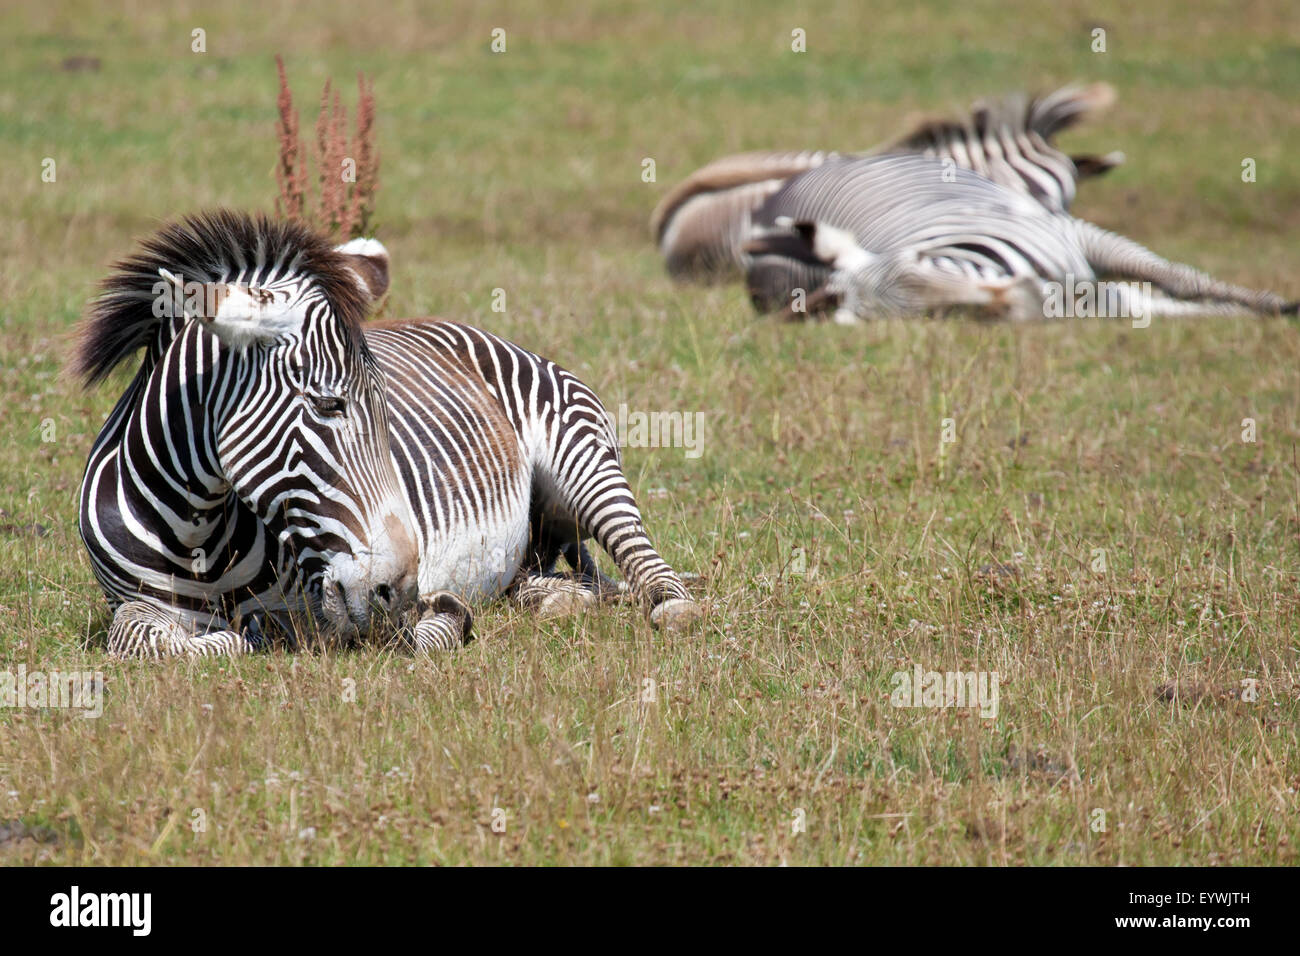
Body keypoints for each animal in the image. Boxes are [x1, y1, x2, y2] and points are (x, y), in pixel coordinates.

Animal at [75, 211, 701, 657]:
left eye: (385, 412)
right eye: (329, 404)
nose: (401, 586)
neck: (197, 532)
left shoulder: (350, 606)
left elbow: (410, 632)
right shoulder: (129, 603)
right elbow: (146, 641)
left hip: (583, 459)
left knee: (646, 564)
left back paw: (672, 607)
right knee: (547, 583)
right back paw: (557, 599)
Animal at [739, 154, 1295, 322]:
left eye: (923, 258)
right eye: (934, 318)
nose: (1026, 299)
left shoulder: (1075, 240)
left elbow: (1179, 283)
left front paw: (1274, 307)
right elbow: (1153, 305)